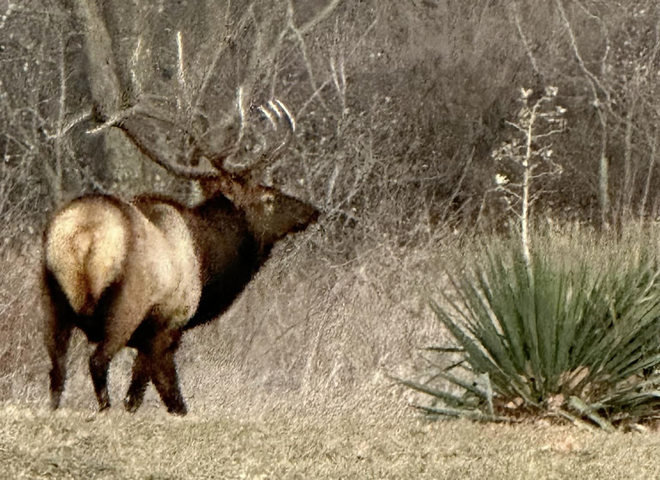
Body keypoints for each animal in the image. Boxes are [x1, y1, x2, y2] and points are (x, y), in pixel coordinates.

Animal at [42, 96, 319, 415]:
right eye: (269, 196)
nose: (312, 211)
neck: (207, 260)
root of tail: (83, 234)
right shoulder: (167, 328)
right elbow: (165, 399)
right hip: (124, 308)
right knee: (97, 362)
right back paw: (104, 410)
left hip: (51, 298)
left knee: (57, 371)